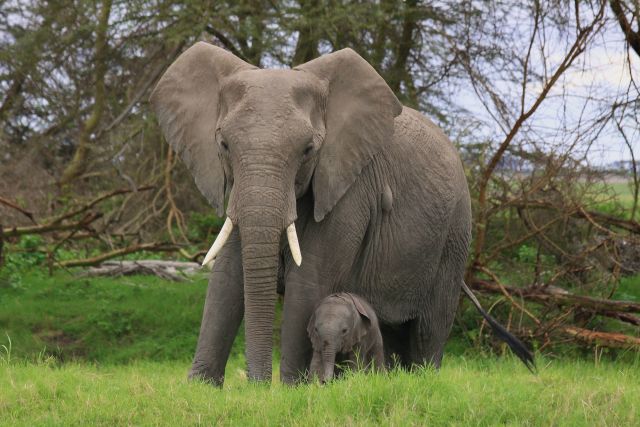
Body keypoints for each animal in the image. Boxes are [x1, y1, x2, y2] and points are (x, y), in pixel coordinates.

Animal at [150, 42, 534, 386]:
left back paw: (422, 380)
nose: (256, 385)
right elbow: (226, 279)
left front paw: (290, 390)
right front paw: (202, 388)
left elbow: (308, 280)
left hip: (454, 235)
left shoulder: (351, 189)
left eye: (308, 150)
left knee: (428, 329)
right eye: (224, 145)